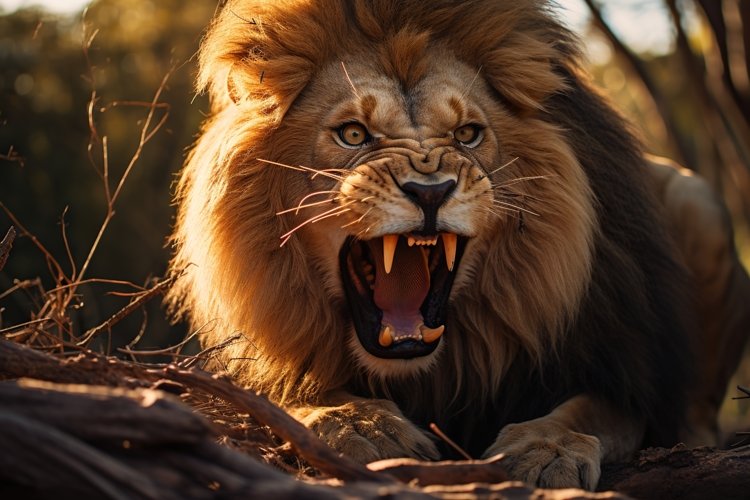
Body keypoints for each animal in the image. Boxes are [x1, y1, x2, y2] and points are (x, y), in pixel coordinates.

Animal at [168, 0, 750, 490]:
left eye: (468, 134)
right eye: (353, 134)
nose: (430, 191)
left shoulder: (623, 371)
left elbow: (582, 411)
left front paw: (546, 454)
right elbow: (298, 393)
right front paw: (364, 426)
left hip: (697, 200)